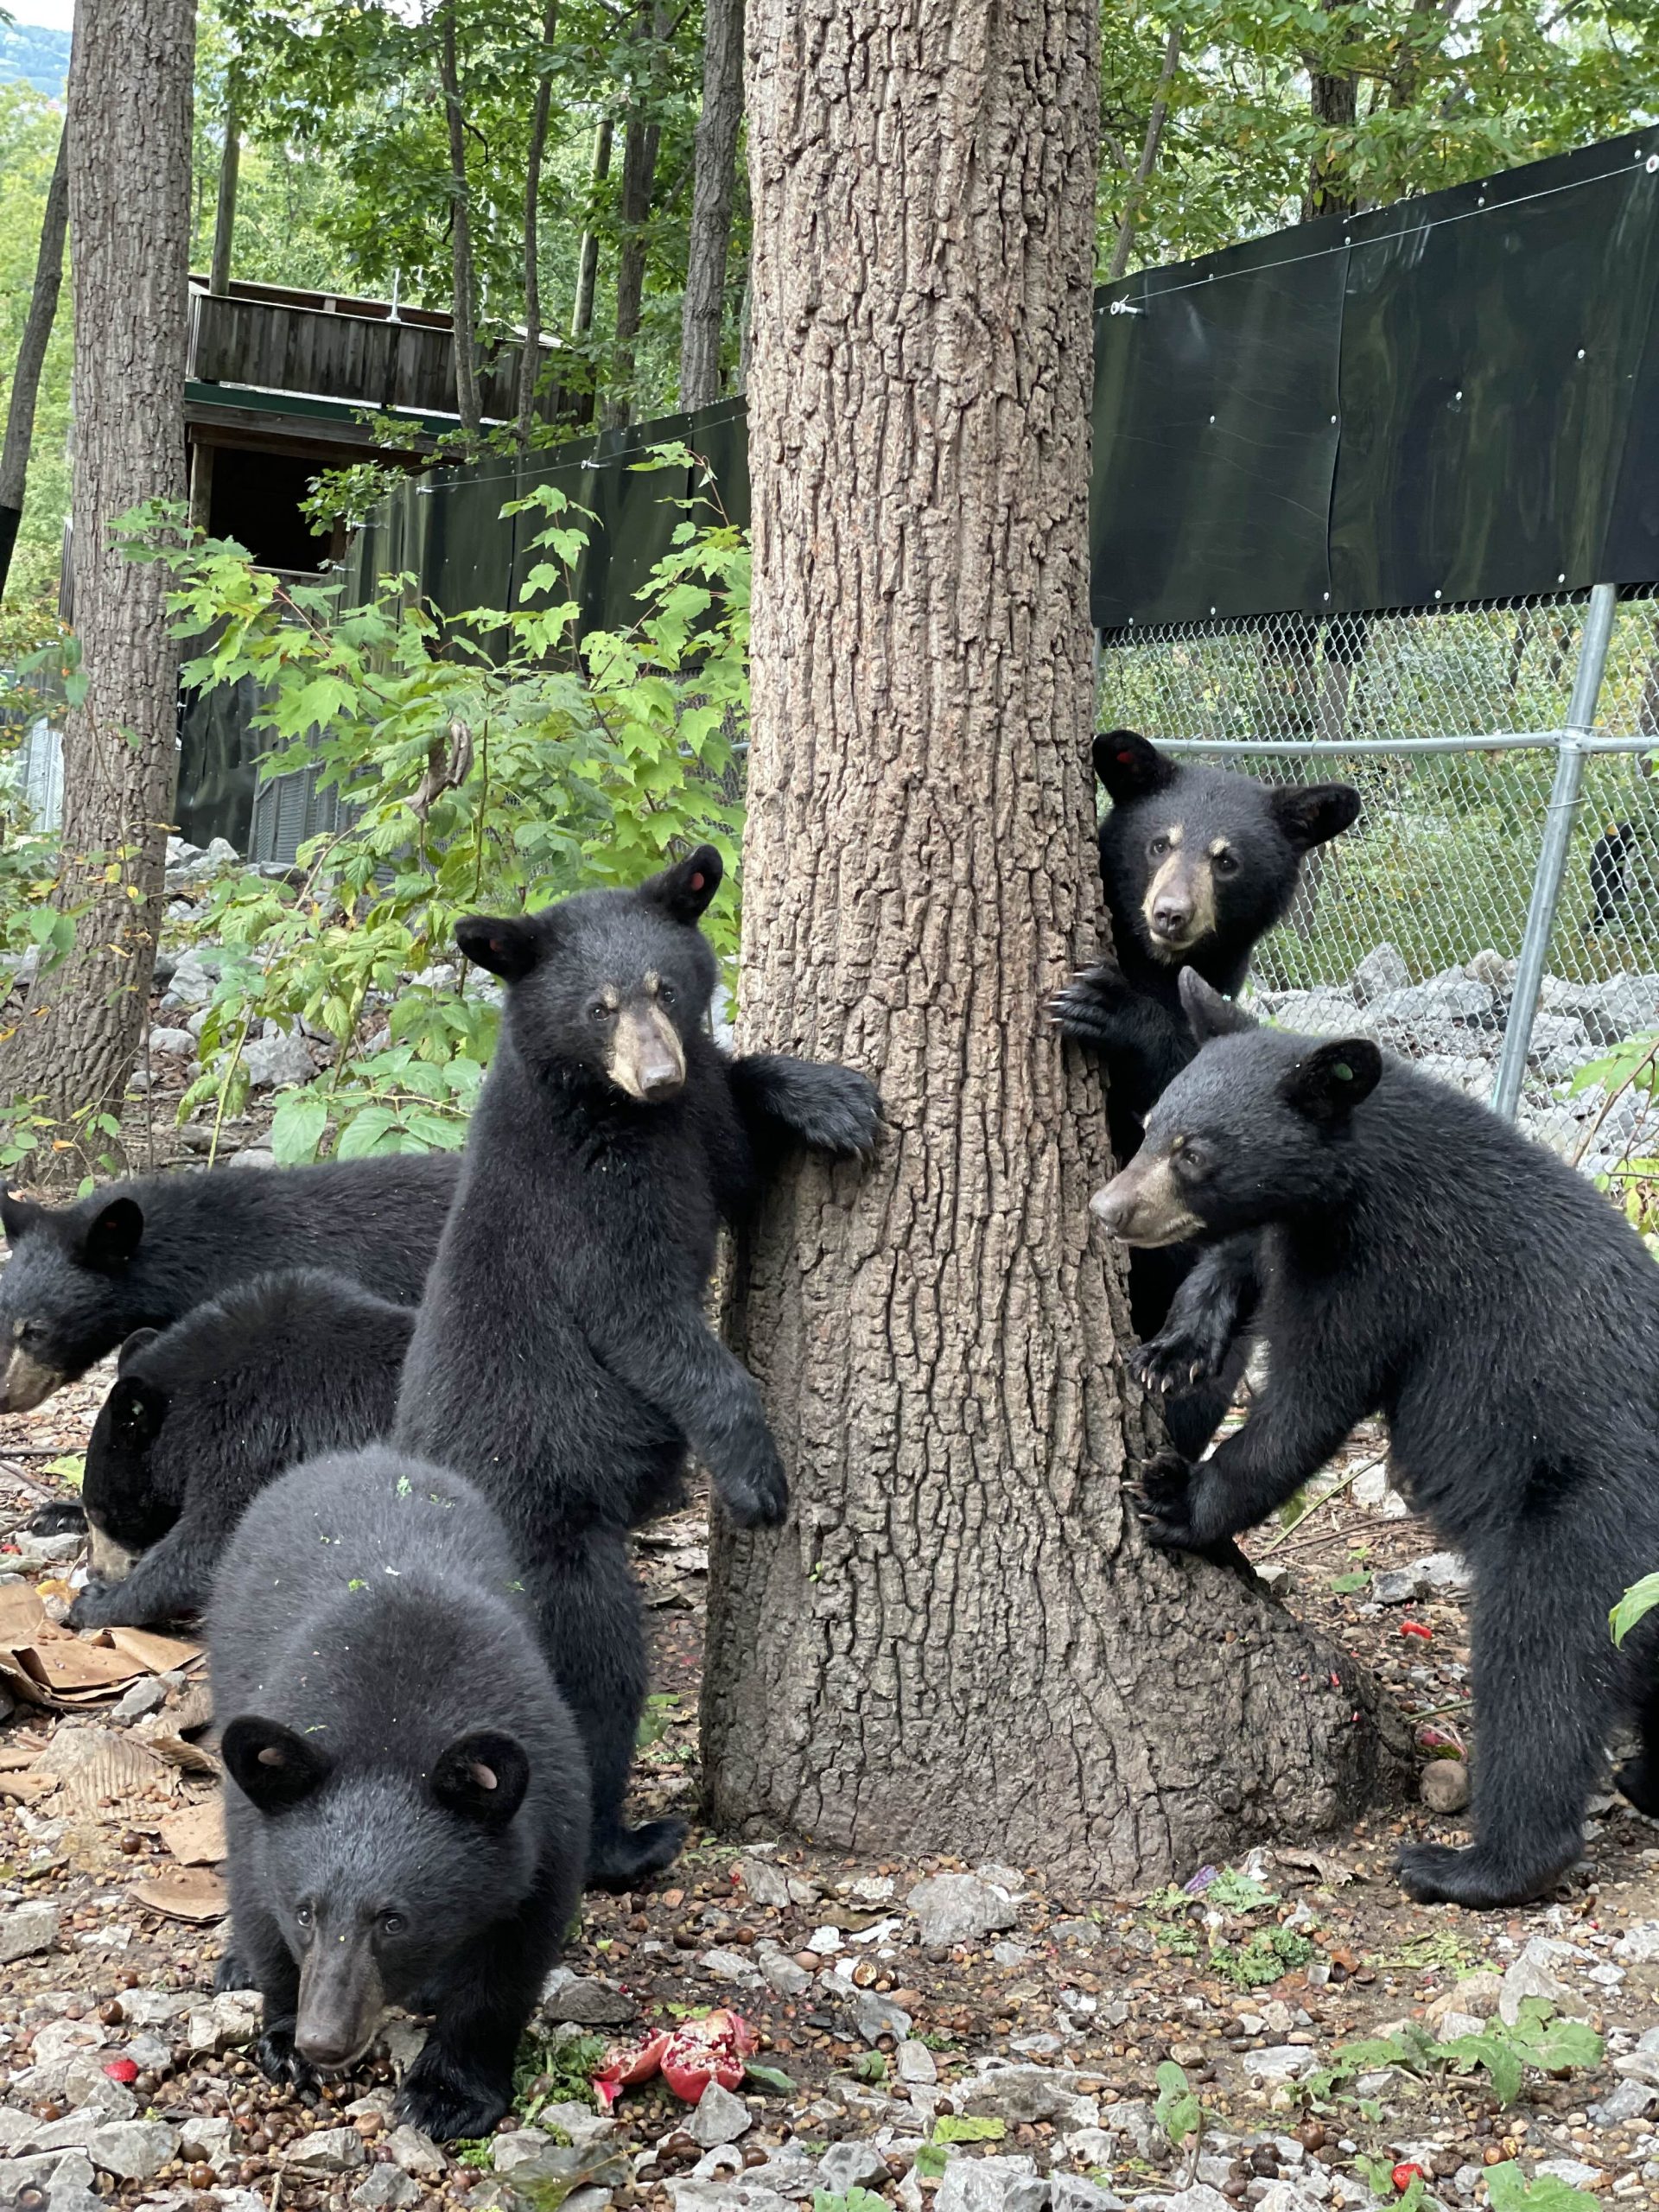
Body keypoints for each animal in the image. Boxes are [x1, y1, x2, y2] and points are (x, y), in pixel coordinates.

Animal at [212, 1443, 589, 2141]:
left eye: (393, 1920)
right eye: (306, 1913)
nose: (325, 2040)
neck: (392, 1733)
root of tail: (364, 1453)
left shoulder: (549, 1813)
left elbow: (509, 1960)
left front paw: (447, 2094)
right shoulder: (258, 1822)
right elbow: (257, 1906)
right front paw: (281, 2040)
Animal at [395, 844, 879, 1892]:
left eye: (665, 986)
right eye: (598, 1006)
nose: (657, 1073)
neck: (614, 1113)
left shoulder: (691, 1132)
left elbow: (737, 1137)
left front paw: (831, 1099)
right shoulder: (587, 1202)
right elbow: (649, 1322)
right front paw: (757, 1476)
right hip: (557, 1558)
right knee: (595, 1687)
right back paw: (626, 1842)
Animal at [1093, 965, 1659, 1910]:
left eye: (1195, 1152)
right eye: (1147, 1130)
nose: (1108, 1208)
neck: (1351, 1181)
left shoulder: (1388, 1263)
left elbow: (1311, 1396)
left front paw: (1177, 1498)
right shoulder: (1298, 1228)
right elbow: (1236, 1263)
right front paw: (1176, 1349)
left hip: (1588, 1528)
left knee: (1539, 1675)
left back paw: (1474, 1863)